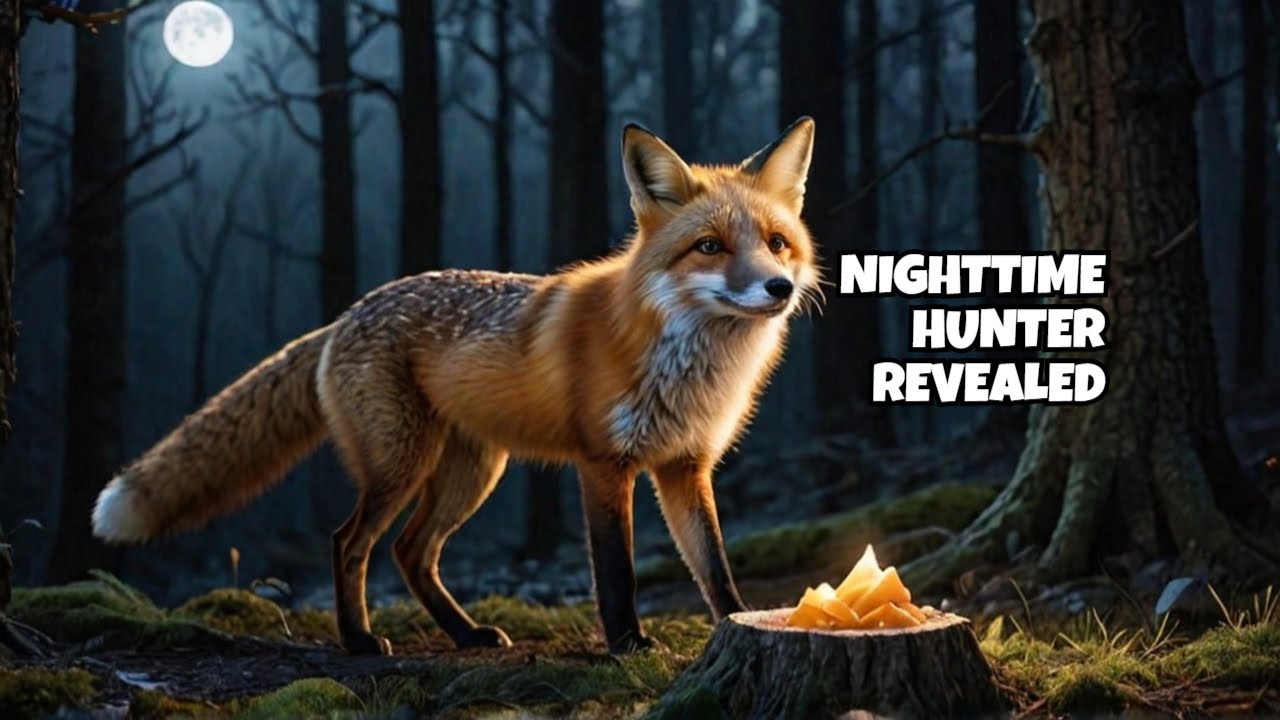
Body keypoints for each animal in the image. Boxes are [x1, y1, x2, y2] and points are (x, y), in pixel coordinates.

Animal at [90, 117, 822, 655]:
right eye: (710, 247)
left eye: (776, 242)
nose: (778, 288)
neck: (688, 361)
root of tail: (346, 315)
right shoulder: (603, 464)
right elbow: (617, 571)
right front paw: (626, 644)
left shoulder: (684, 465)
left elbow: (715, 567)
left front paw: (739, 624)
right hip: (401, 464)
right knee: (350, 541)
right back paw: (359, 641)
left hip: (473, 471)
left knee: (411, 551)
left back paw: (465, 634)